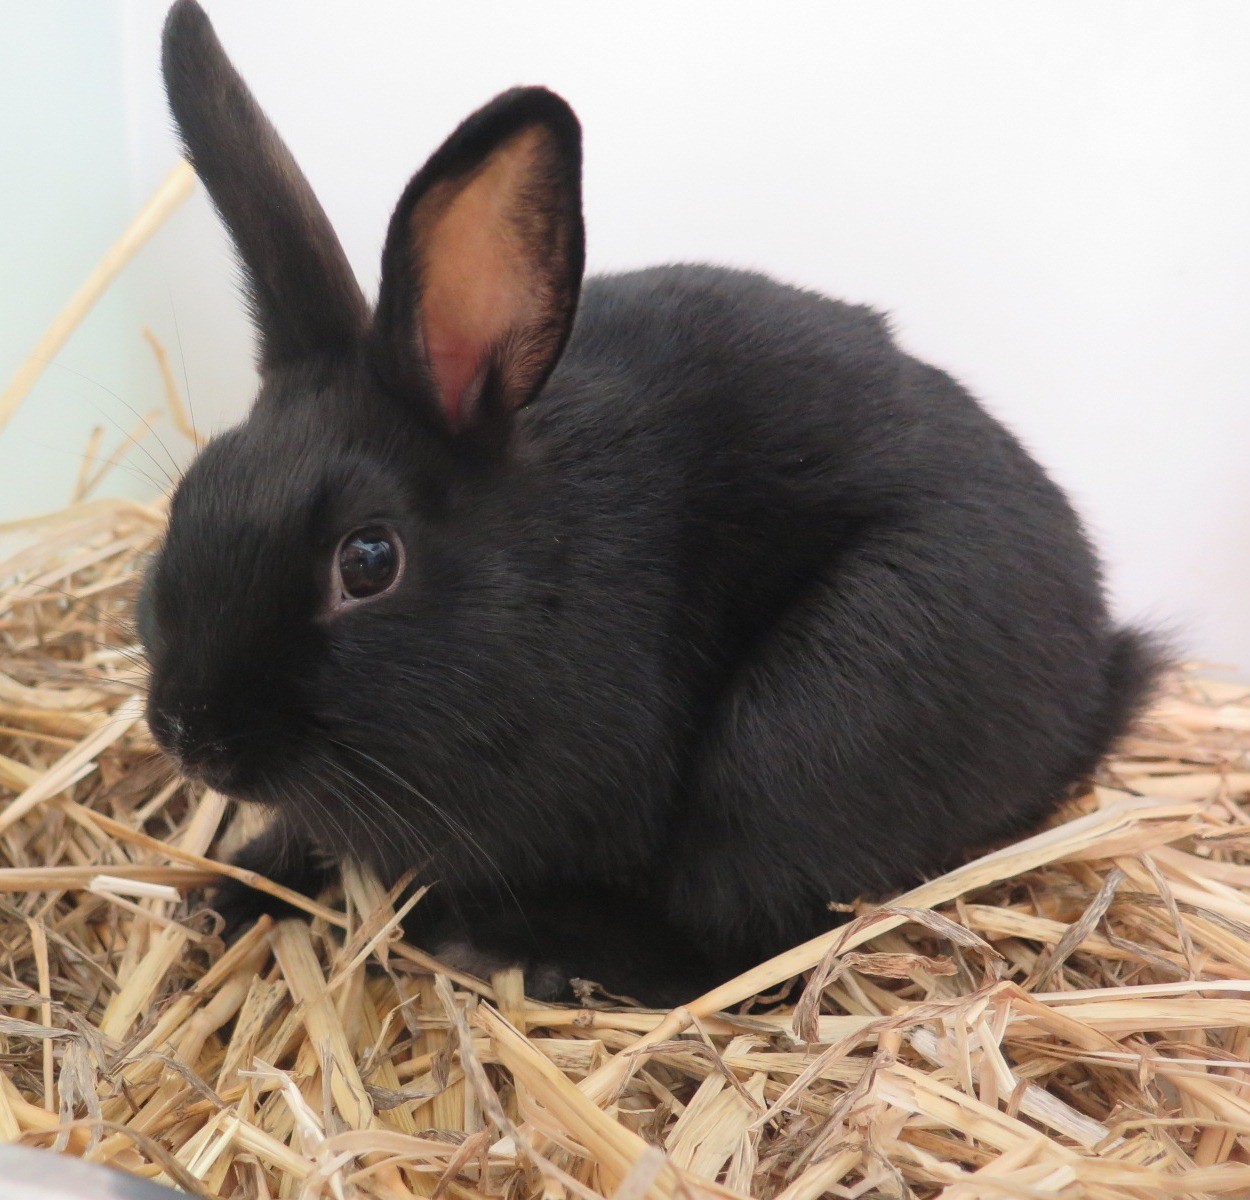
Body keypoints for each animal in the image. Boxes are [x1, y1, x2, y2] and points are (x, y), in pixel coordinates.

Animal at [140, 0, 1162, 1006]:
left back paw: (527, 947)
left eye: (368, 560)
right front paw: (222, 899)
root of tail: (1097, 665)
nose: (189, 735)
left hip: (811, 723)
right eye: (187, 498)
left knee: (747, 948)